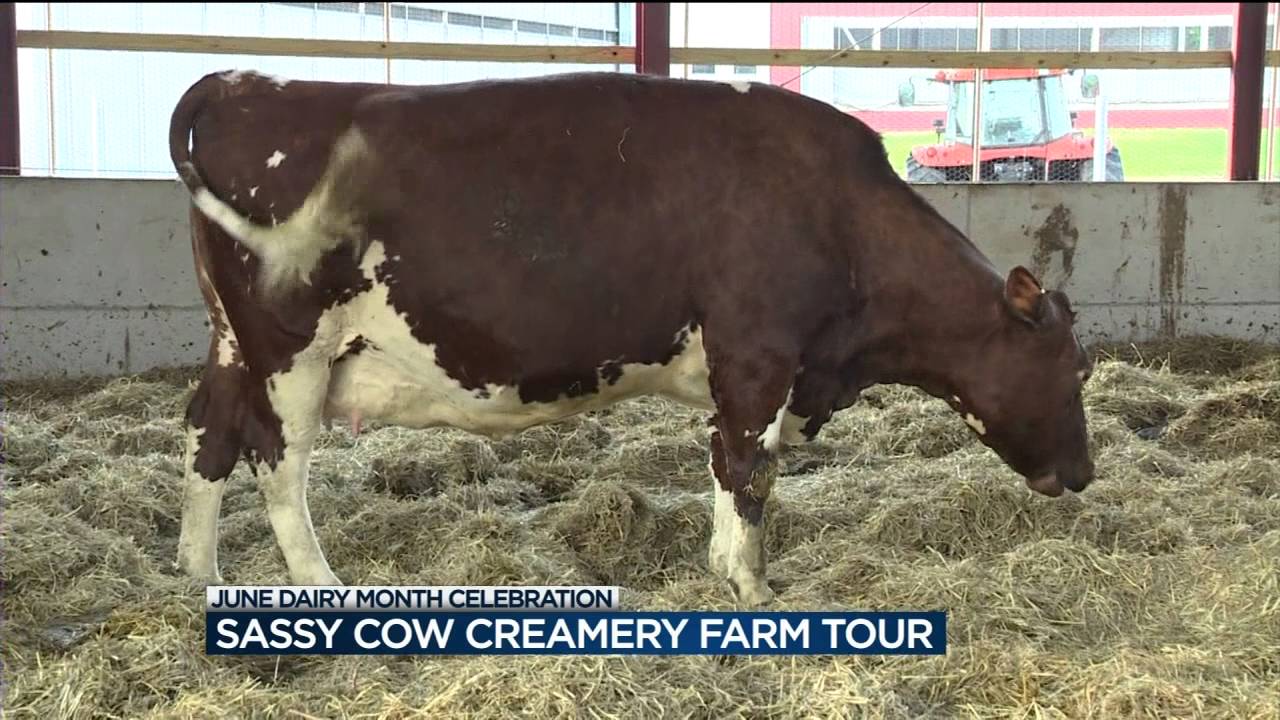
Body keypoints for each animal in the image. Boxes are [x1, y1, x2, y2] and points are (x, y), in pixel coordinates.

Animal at [168, 69, 1095, 606]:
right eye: (1076, 367)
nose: (1085, 474)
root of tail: (250, 79)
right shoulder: (758, 355)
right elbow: (752, 471)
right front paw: (752, 584)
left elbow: (726, 464)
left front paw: (723, 567)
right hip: (290, 347)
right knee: (276, 460)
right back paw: (320, 584)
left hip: (231, 342)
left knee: (209, 435)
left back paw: (201, 571)